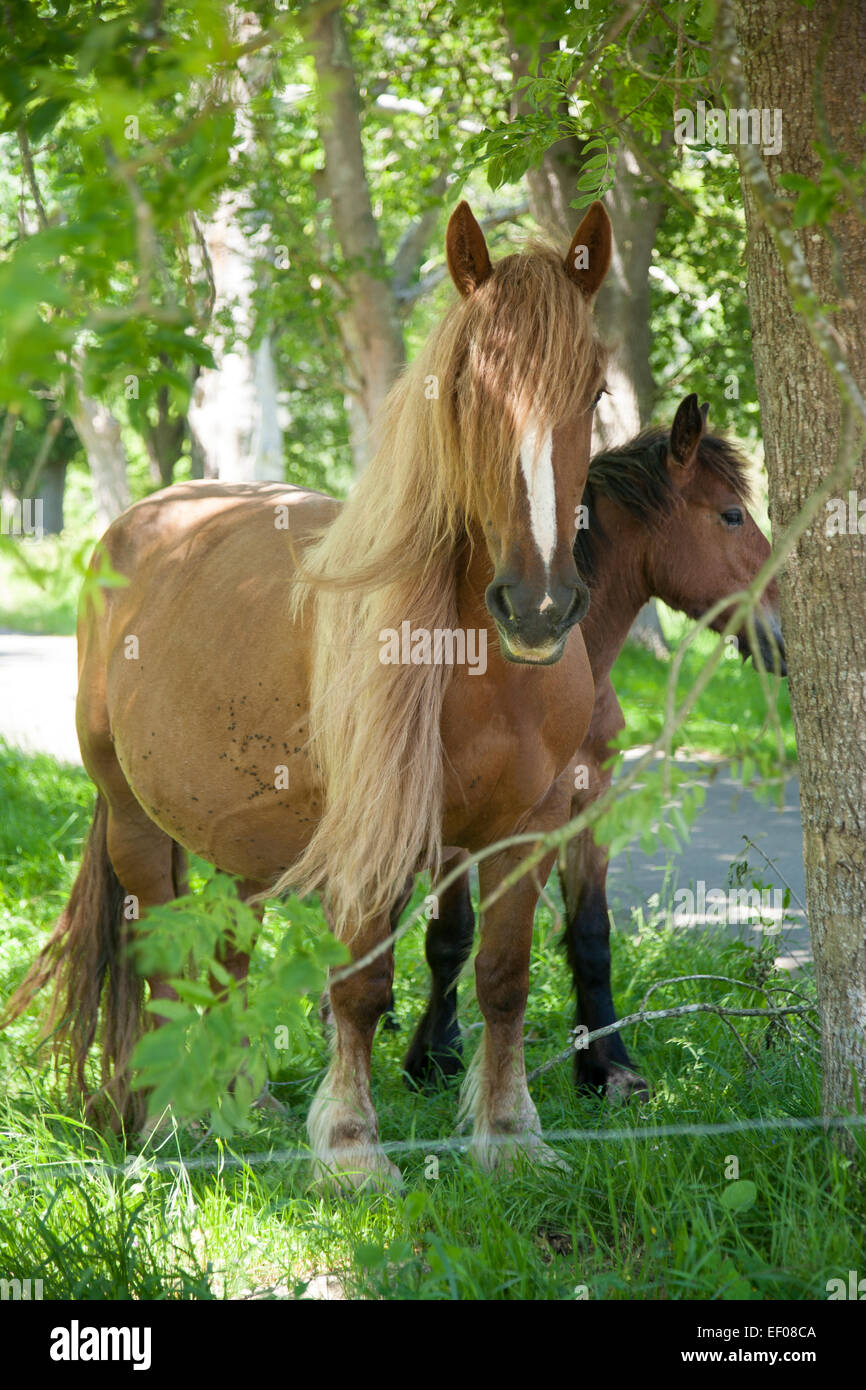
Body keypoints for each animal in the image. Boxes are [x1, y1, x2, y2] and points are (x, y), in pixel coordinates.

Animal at [6, 199, 613, 1187]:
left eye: (594, 392)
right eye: (464, 386)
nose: (540, 606)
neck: (482, 667)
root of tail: (140, 523)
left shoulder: (531, 827)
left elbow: (504, 978)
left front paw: (510, 1137)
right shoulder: (371, 841)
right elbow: (359, 989)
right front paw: (352, 1150)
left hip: (241, 839)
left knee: (228, 953)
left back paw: (242, 1102)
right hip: (133, 816)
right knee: (163, 952)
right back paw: (171, 1119)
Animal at [398, 394, 787, 1100]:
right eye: (732, 514)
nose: (781, 636)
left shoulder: (587, 806)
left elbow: (591, 934)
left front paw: (608, 1064)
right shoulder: (462, 821)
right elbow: (451, 936)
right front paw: (433, 1057)